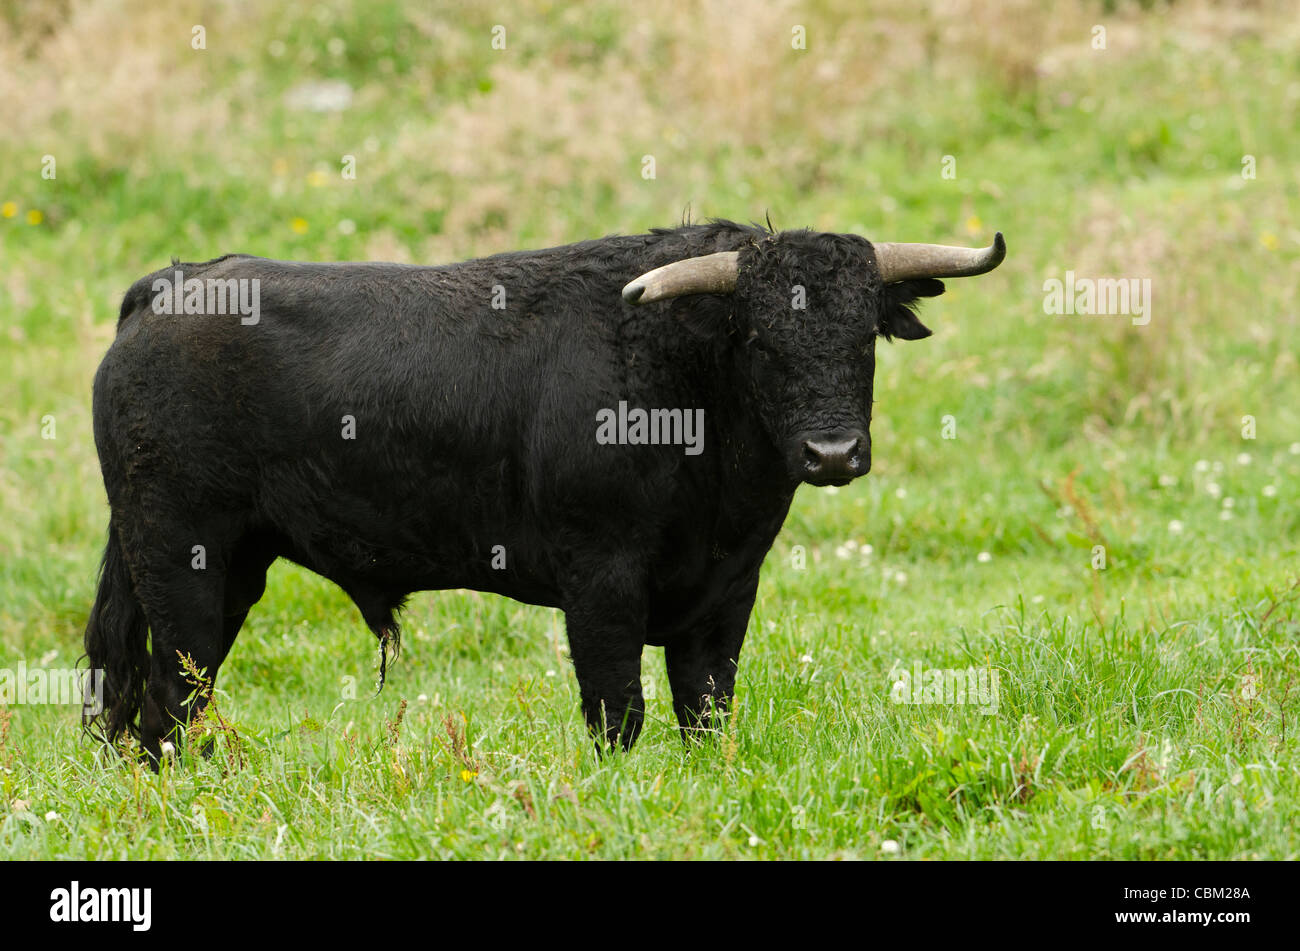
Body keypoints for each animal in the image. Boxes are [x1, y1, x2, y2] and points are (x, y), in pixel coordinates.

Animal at [82, 219, 1005, 762]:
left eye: (864, 335)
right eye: (759, 337)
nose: (832, 451)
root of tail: (172, 286)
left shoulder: (726, 591)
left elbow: (706, 708)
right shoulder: (601, 581)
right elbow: (617, 711)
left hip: (226, 568)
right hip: (182, 562)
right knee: (167, 705)